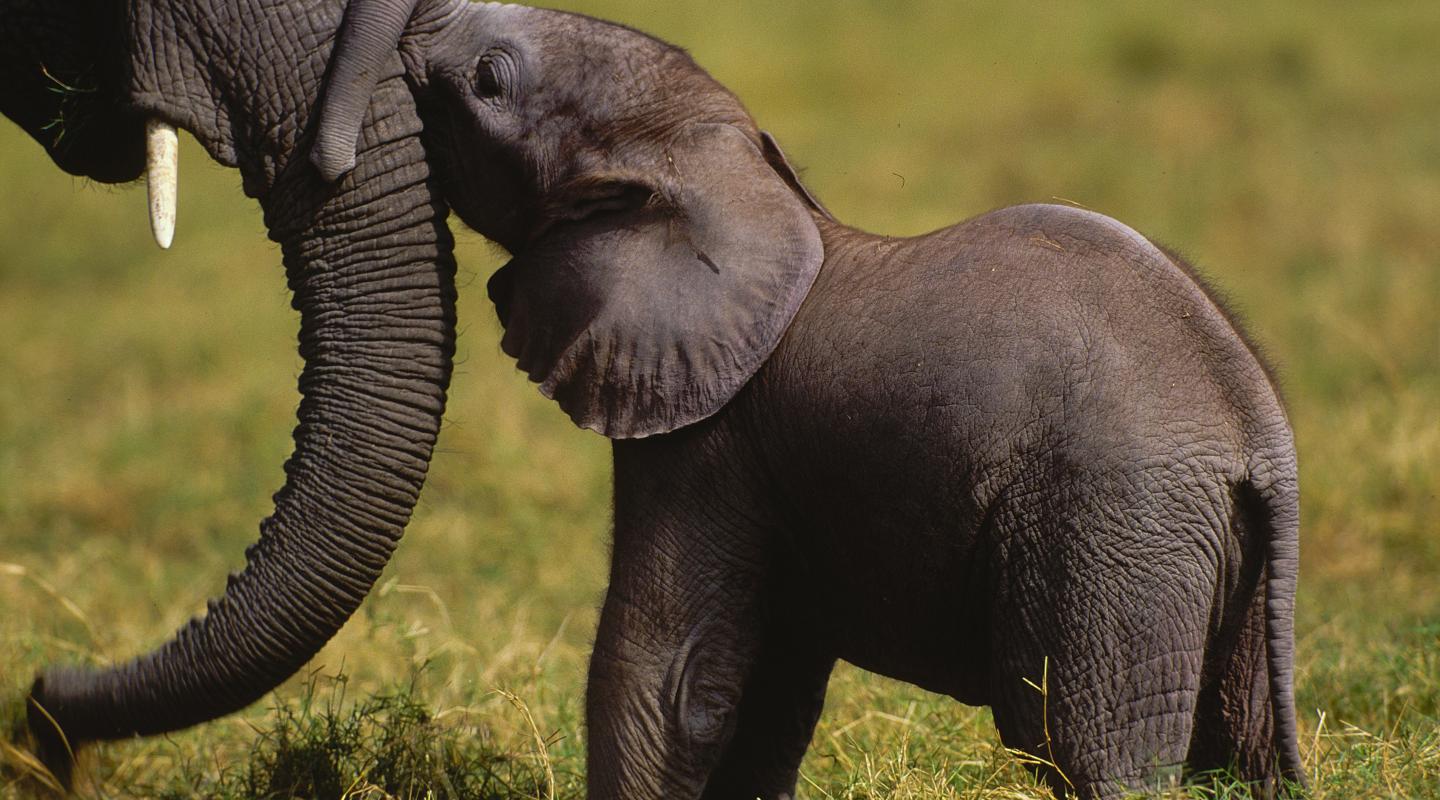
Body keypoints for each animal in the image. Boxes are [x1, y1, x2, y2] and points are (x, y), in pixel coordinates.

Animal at [301, 2, 1306, 798]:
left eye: (489, 80)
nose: (331, 153)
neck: (737, 173)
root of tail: (1258, 429)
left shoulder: (710, 440)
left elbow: (667, 677)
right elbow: (769, 694)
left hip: (1113, 528)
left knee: (1084, 748)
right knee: (1240, 750)